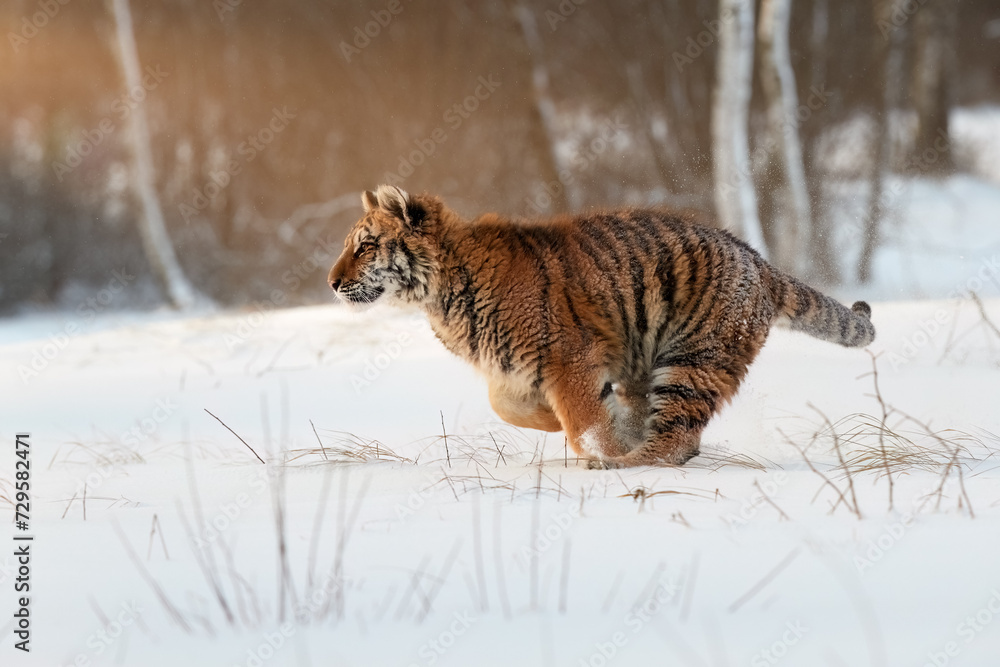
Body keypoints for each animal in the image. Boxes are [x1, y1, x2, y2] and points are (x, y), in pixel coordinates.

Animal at [328, 184, 875, 468]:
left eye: (366, 245)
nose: (332, 283)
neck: (439, 293)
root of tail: (760, 263)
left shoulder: (568, 356)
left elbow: (585, 421)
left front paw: (600, 450)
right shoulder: (510, 366)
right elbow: (506, 405)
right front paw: (563, 422)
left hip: (692, 361)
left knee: (672, 442)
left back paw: (622, 463)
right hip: (649, 367)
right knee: (676, 437)